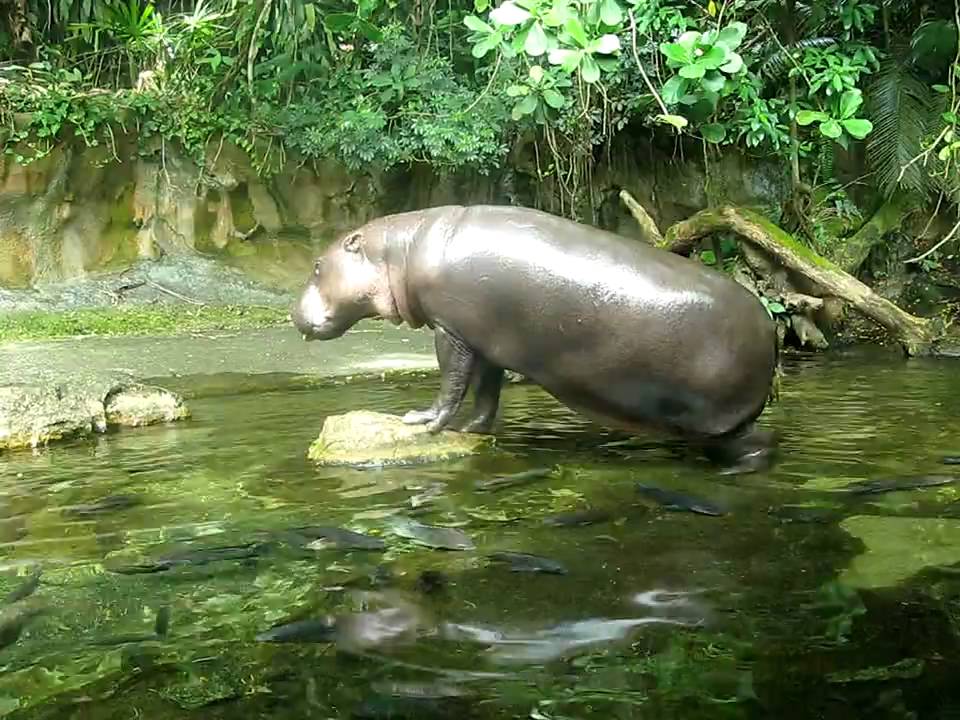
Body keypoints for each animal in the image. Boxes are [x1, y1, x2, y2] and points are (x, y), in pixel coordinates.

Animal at [291, 204, 781, 472]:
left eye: (316, 266)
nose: (294, 314)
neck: (399, 251)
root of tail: (771, 326)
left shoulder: (451, 330)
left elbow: (451, 382)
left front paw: (422, 421)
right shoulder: (485, 341)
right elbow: (486, 391)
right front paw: (473, 430)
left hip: (724, 420)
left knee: (760, 444)